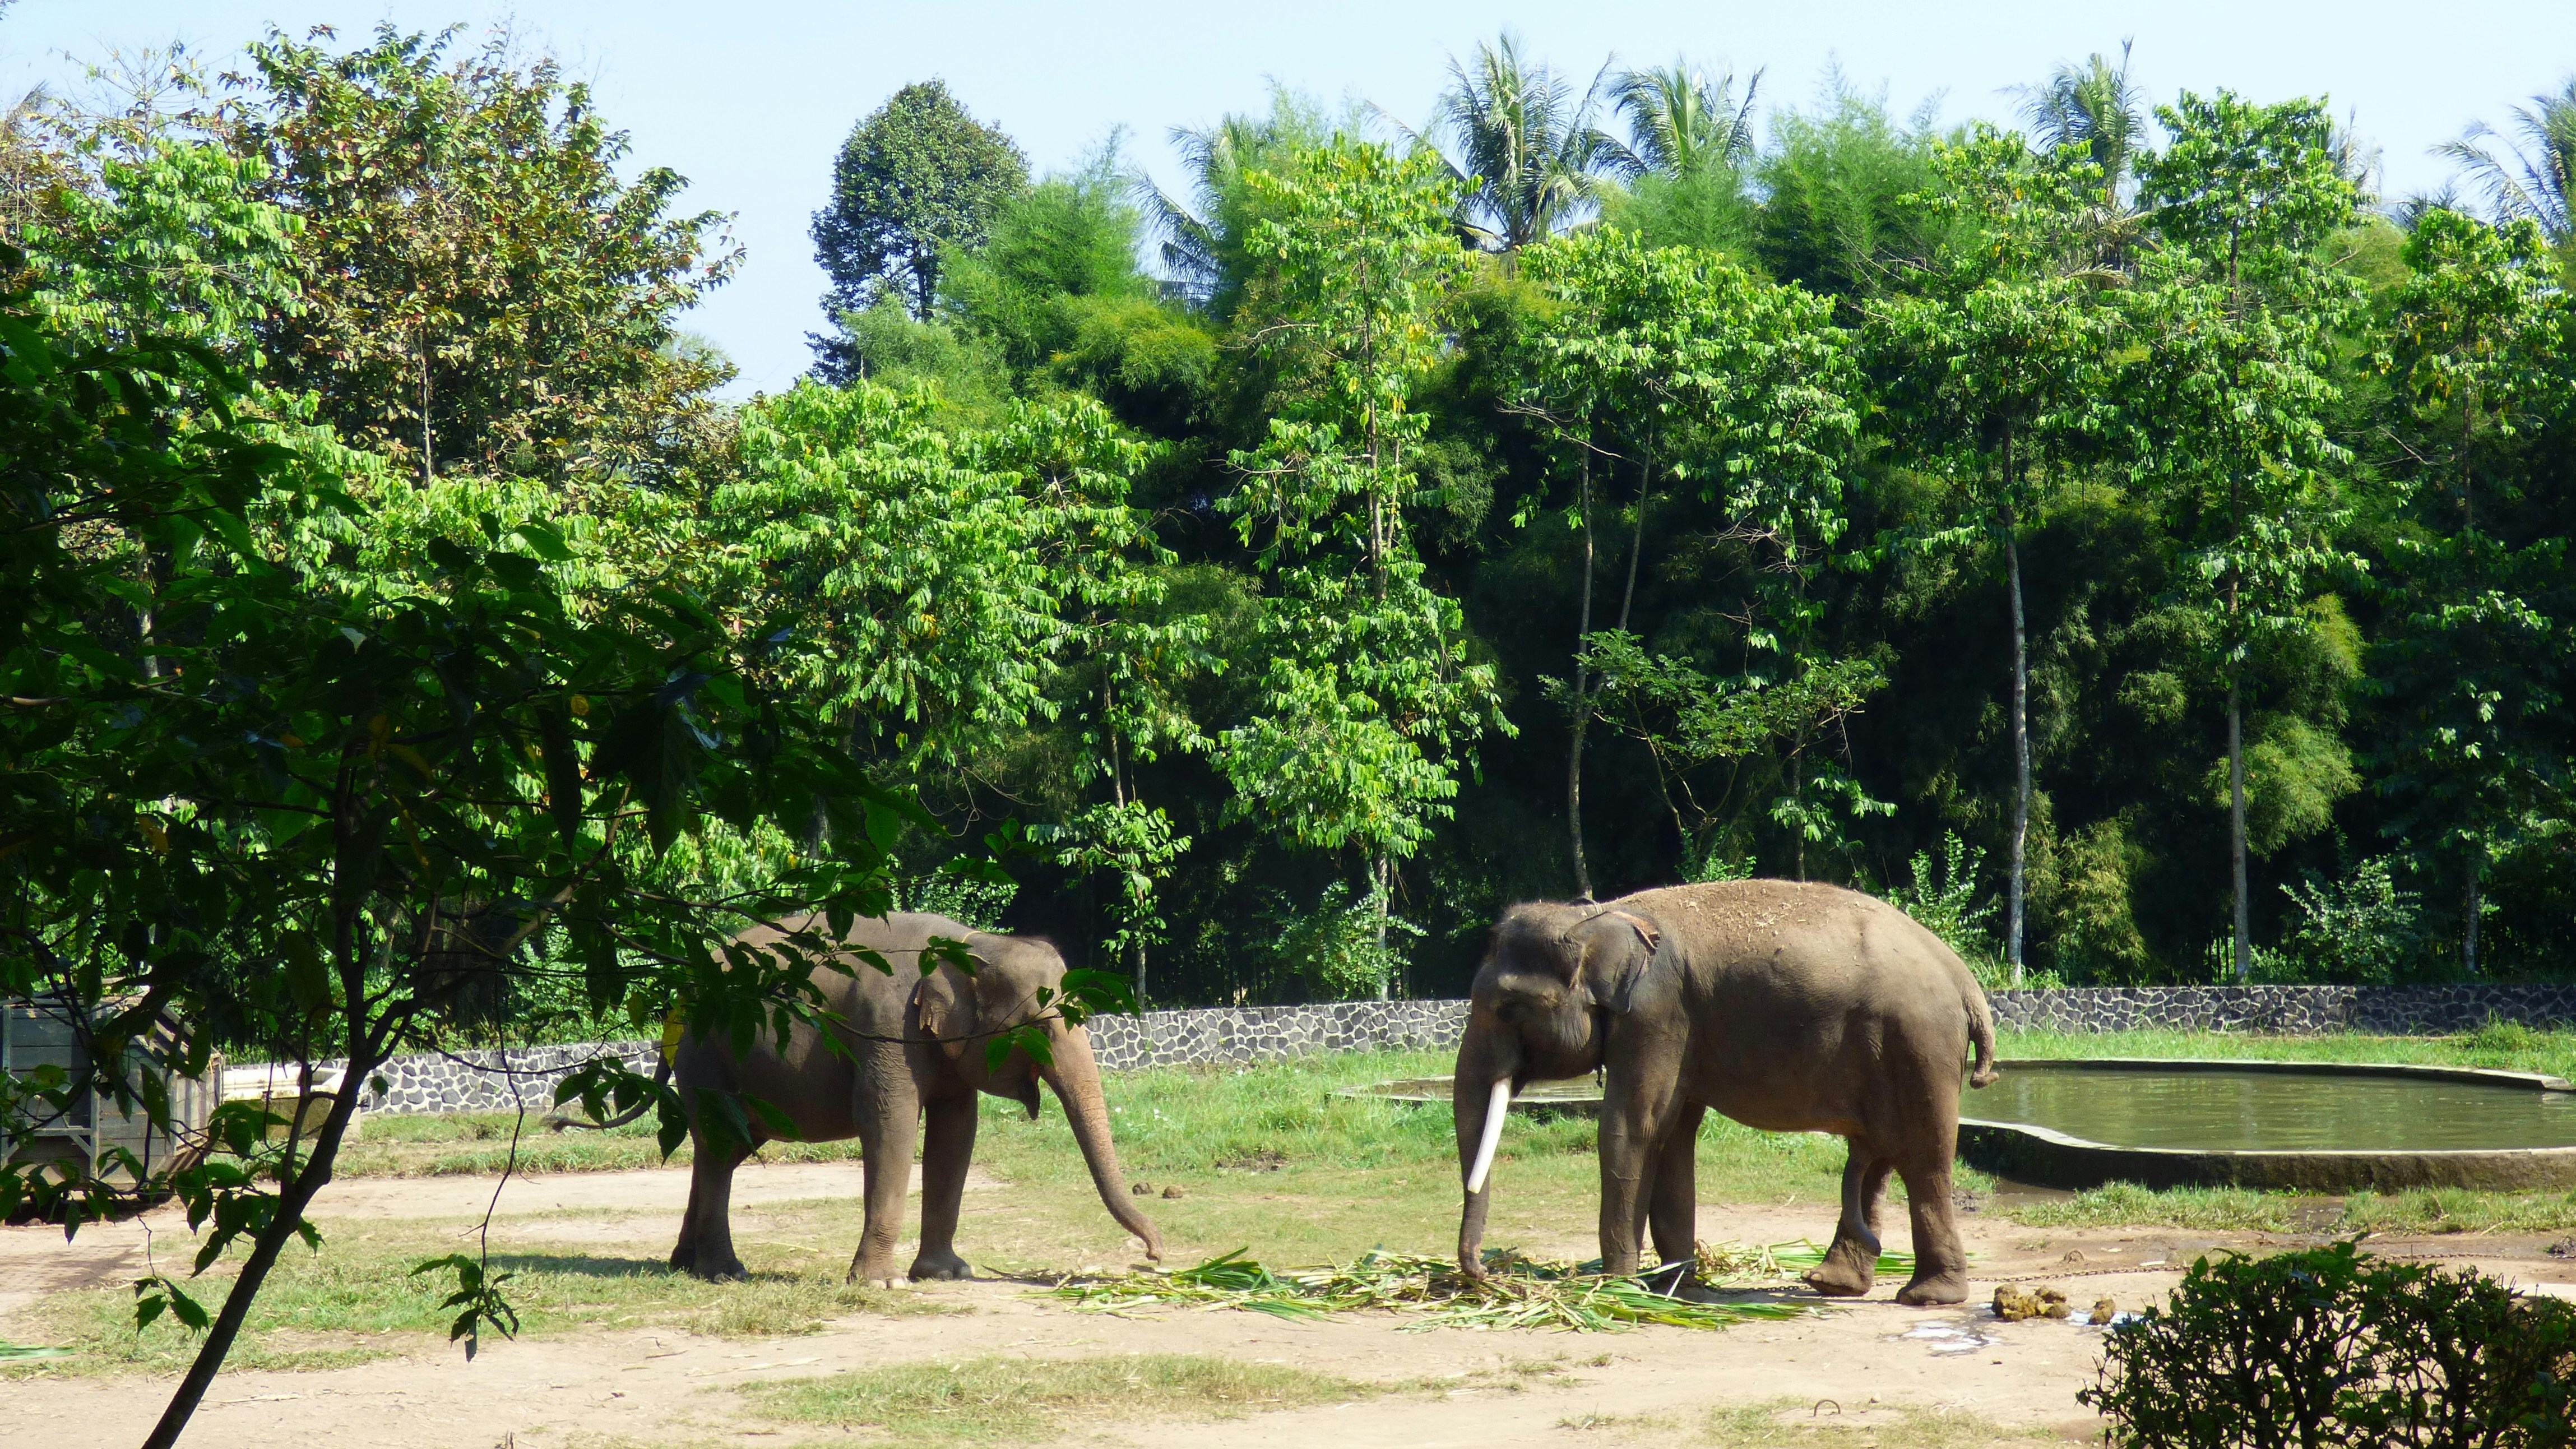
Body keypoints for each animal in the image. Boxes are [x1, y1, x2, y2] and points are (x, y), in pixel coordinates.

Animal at [664, 911, 1162, 1285]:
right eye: (1039, 1028)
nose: (1155, 1255)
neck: (969, 944)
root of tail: (683, 989)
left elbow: (956, 1134)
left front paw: (948, 1274)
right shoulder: (887, 1027)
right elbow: (890, 1122)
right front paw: (881, 1283)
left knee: (725, 1150)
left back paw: (684, 1264)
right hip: (706, 1054)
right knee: (719, 1143)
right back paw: (724, 1272)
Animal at [1453, 879, 1999, 1306]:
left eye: (1506, 1008)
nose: (1487, 1275)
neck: (1600, 916)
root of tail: (1968, 982)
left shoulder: (1657, 1014)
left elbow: (1632, 1128)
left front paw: (1618, 1289)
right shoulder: (1677, 1032)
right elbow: (1673, 1134)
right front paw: (1675, 1287)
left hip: (1919, 1046)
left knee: (1923, 1158)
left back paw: (1927, 1296)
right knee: (1877, 1154)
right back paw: (1833, 1283)